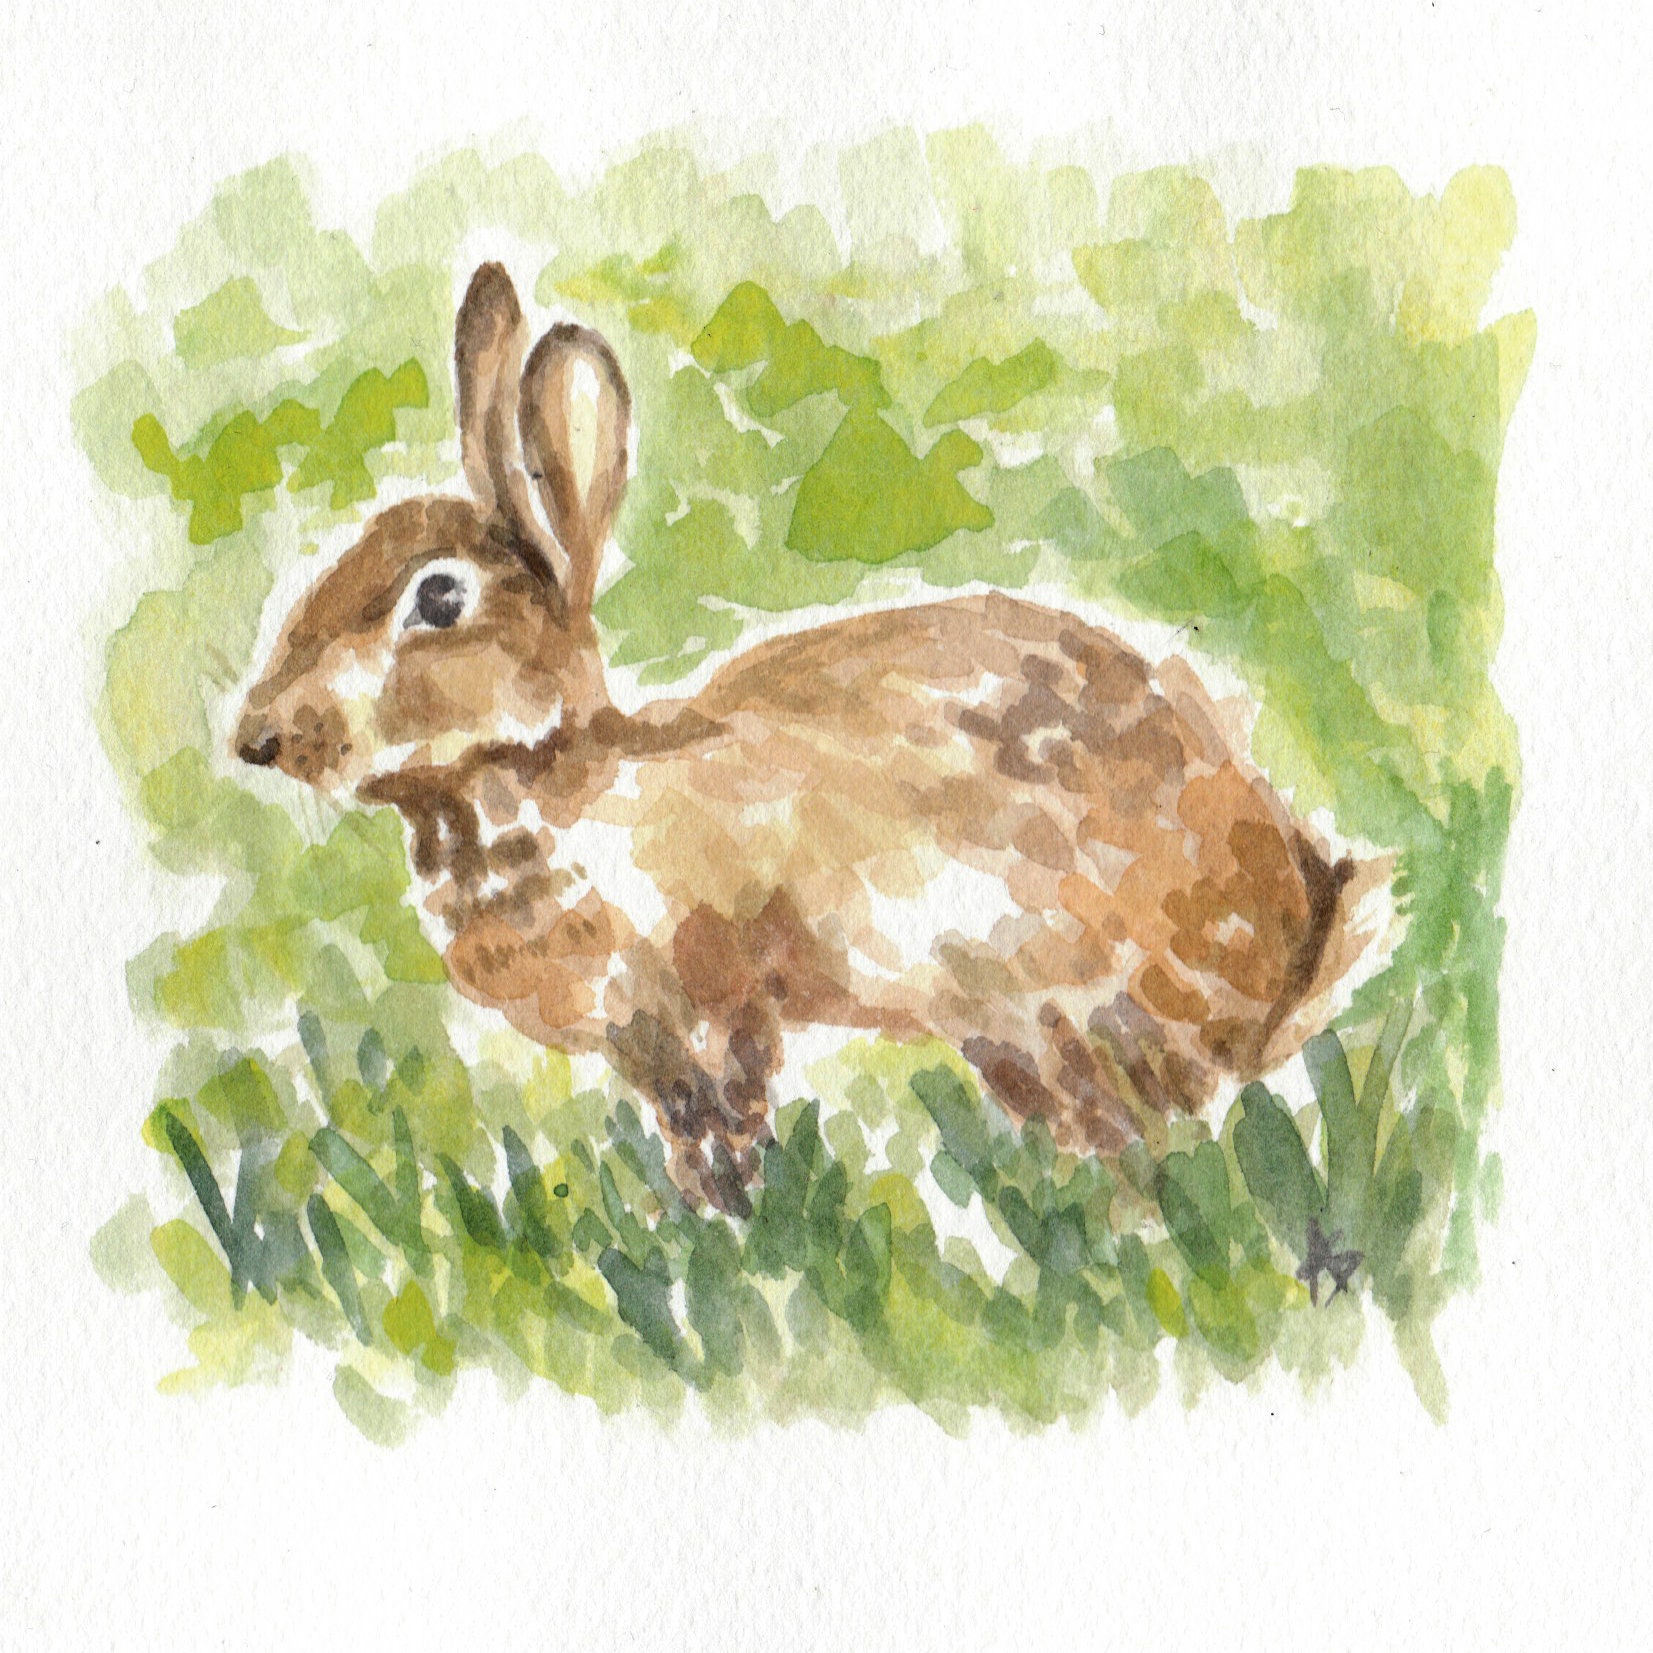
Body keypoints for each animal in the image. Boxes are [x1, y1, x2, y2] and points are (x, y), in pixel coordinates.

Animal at [236, 263, 1393, 1214]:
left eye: (437, 599)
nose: (257, 739)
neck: (552, 780)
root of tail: (1291, 944)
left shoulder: (719, 1001)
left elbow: (726, 1121)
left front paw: (730, 1224)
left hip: (1060, 1009)